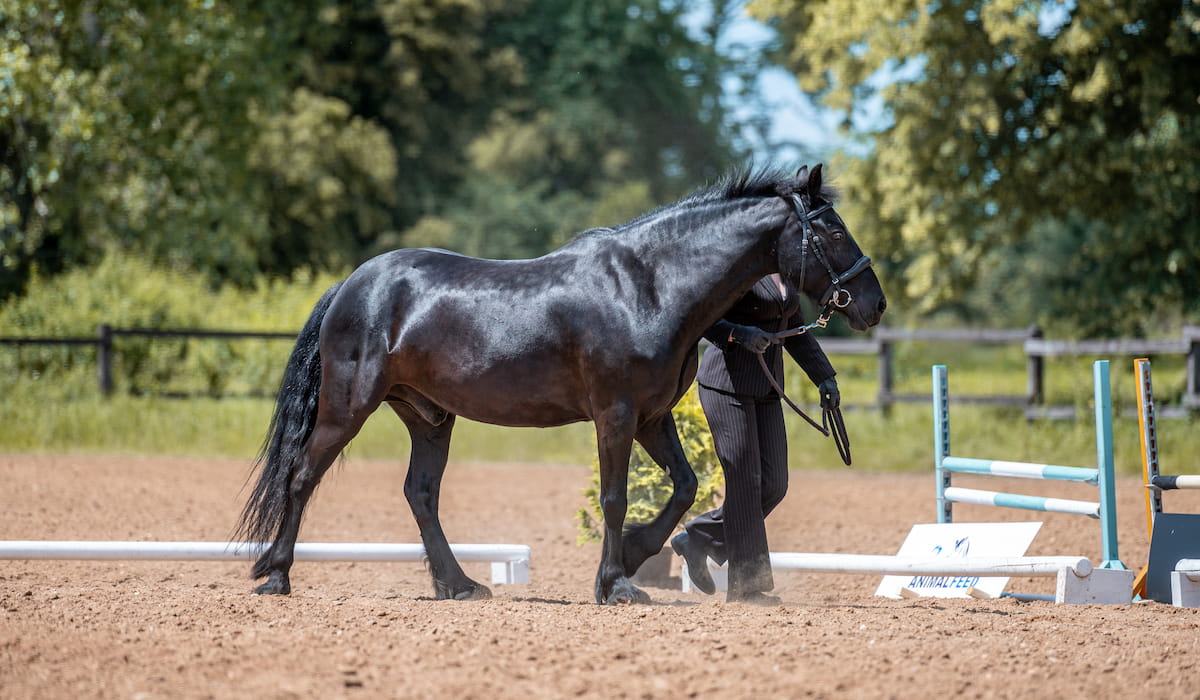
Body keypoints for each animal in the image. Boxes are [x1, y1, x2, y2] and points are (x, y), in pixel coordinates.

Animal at [236, 163, 887, 605]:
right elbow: (615, 497)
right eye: (832, 231)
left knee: (420, 494)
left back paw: (459, 584)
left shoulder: (651, 417)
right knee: (302, 476)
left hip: (429, 417)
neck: (647, 286)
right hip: (348, 407)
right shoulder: (616, 415)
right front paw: (615, 584)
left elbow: (682, 486)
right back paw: (276, 575)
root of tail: (353, 284)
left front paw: (636, 557)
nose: (873, 304)